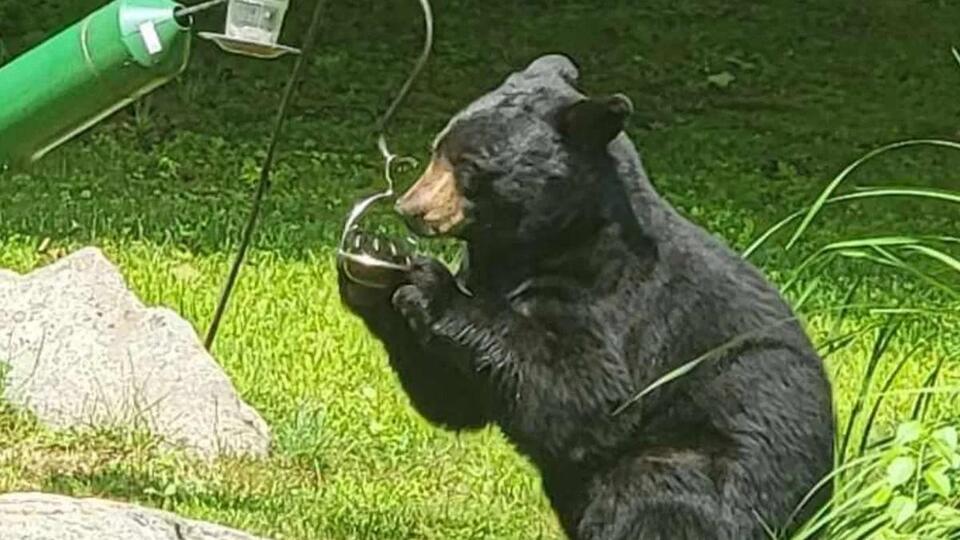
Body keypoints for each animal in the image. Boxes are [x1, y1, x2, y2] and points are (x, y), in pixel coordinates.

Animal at [337, 54, 835, 540]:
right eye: (436, 151)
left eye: (470, 166)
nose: (411, 209)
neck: (540, 243)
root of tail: (820, 507)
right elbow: (458, 396)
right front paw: (377, 270)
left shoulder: (615, 299)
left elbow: (584, 394)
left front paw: (433, 288)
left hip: (724, 469)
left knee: (654, 490)